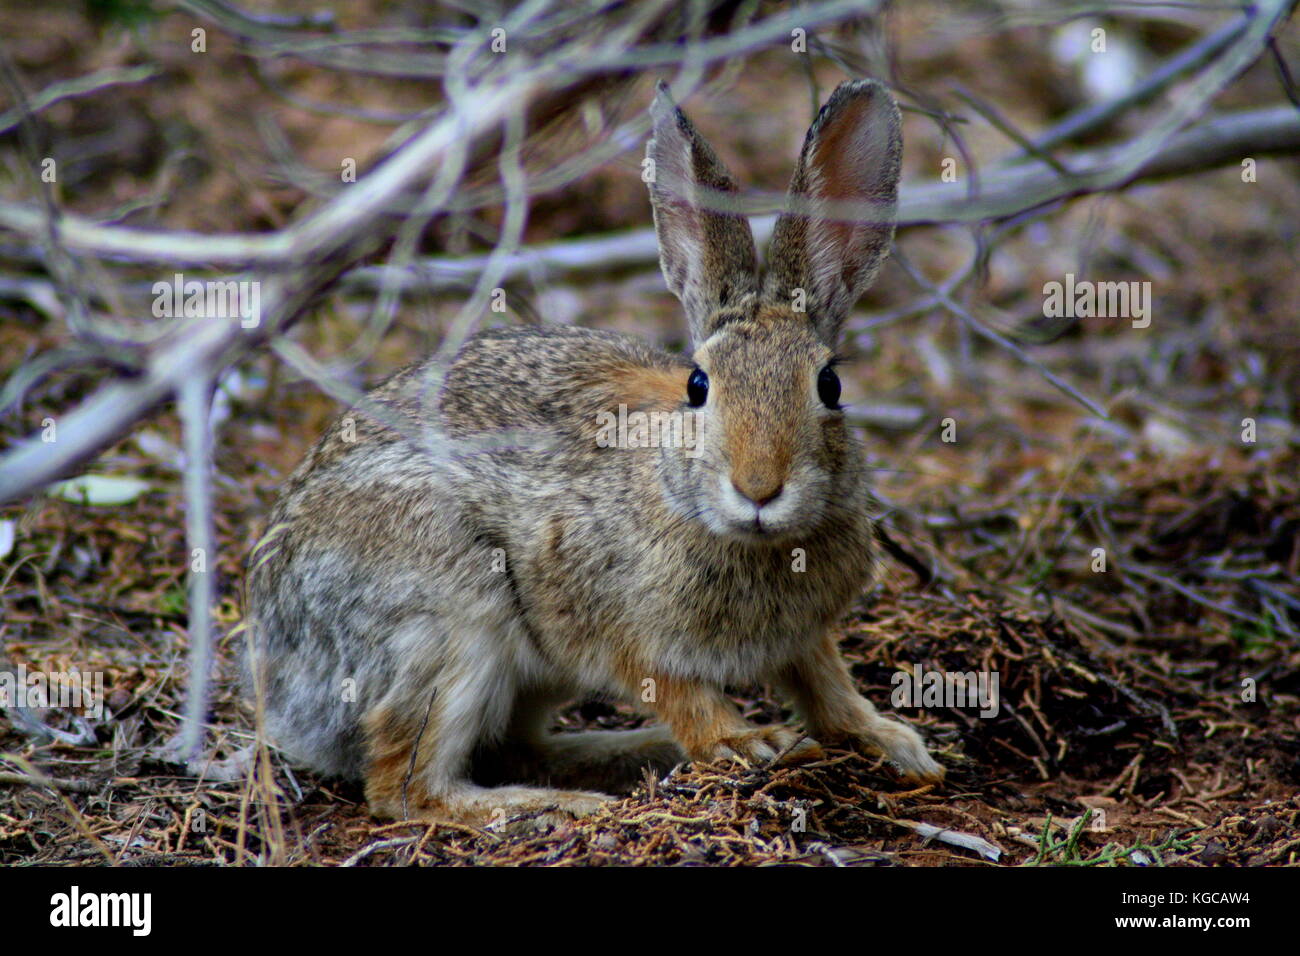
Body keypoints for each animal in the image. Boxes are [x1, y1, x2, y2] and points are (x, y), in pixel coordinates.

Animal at [243, 78, 944, 826]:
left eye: (830, 385)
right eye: (698, 387)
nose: (758, 487)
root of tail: (282, 683)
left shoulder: (805, 637)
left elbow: (826, 684)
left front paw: (893, 745)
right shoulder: (614, 620)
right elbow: (676, 688)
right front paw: (744, 743)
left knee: (516, 747)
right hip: (453, 619)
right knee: (407, 785)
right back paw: (560, 807)